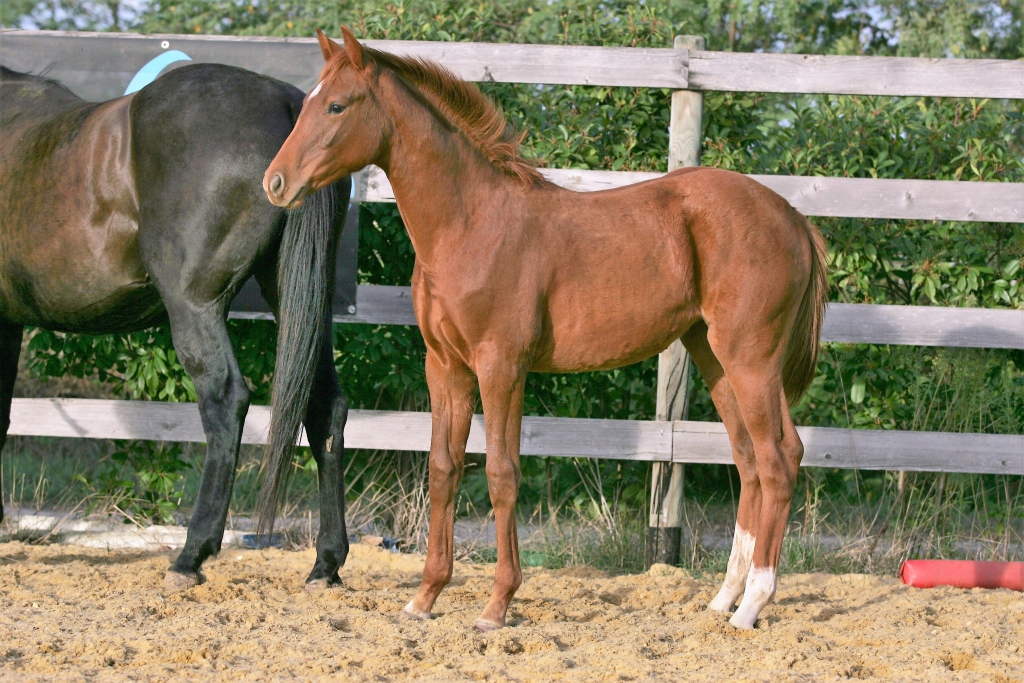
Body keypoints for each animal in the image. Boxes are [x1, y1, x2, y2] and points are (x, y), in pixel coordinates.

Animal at [0, 63, 352, 592]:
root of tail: (288, 104)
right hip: (300, 298)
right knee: (324, 407)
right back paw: (325, 564)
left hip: (195, 306)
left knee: (226, 401)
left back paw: (190, 556)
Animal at [264, 27, 828, 631]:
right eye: (307, 102)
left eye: (337, 105)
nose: (275, 182)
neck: (470, 223)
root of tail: (793, 217)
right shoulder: (446, 366)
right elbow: (443, 469)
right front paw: (425, 596)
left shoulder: (501, 366)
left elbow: (501, 473)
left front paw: (496, 605)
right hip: (714, 357)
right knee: (750, 460)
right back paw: (722, 598)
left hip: (750, 359)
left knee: (778, 458)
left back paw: (752, 605)